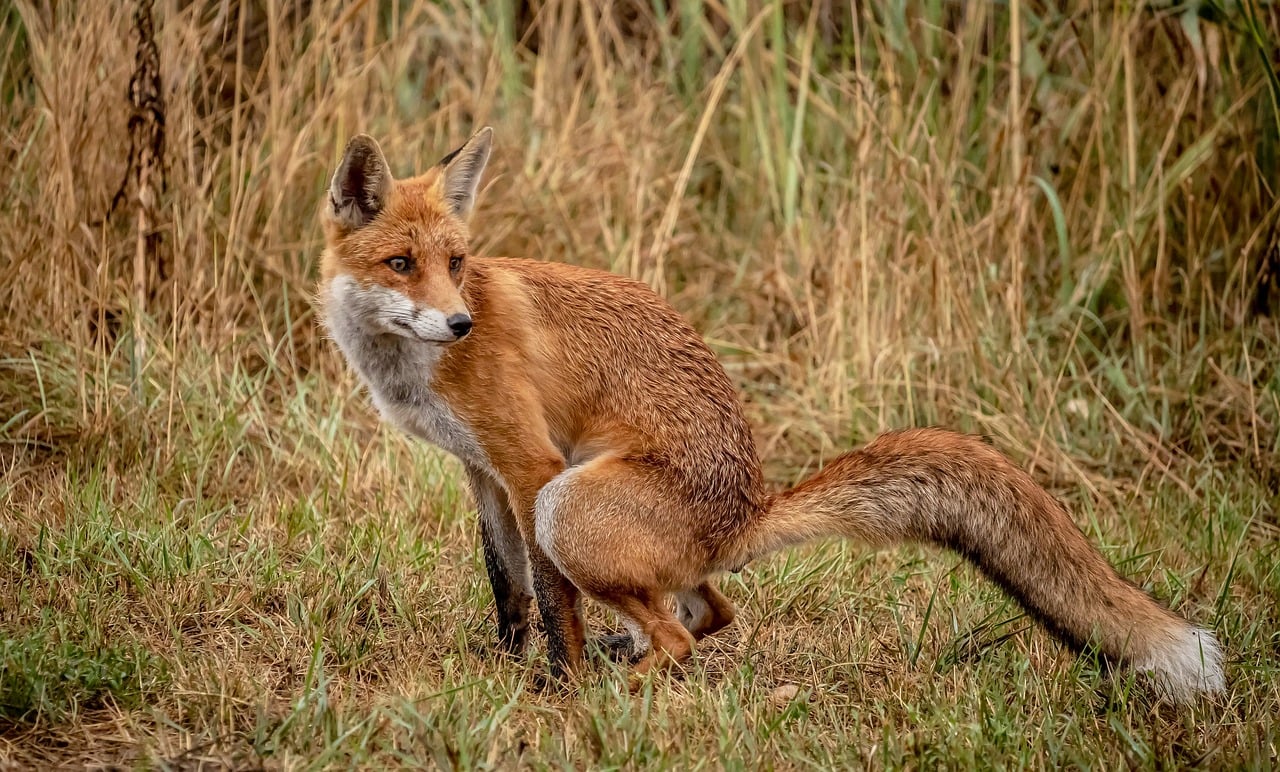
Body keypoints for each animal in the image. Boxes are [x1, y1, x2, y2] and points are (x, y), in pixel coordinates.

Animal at [317, 127, 1225, 703]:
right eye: (401, 264)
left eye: (457, 261)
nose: (461, 323)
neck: (411, 370)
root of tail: (748, 509)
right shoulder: (480, 471)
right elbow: (507, 589)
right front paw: (508, 669)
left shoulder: (526, 468)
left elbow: (550, 604)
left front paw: (557, 687)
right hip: (590, 517)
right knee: (711, 612)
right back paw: (630, 653)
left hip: (567, 506)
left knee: (685, 634)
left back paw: (619, 685)